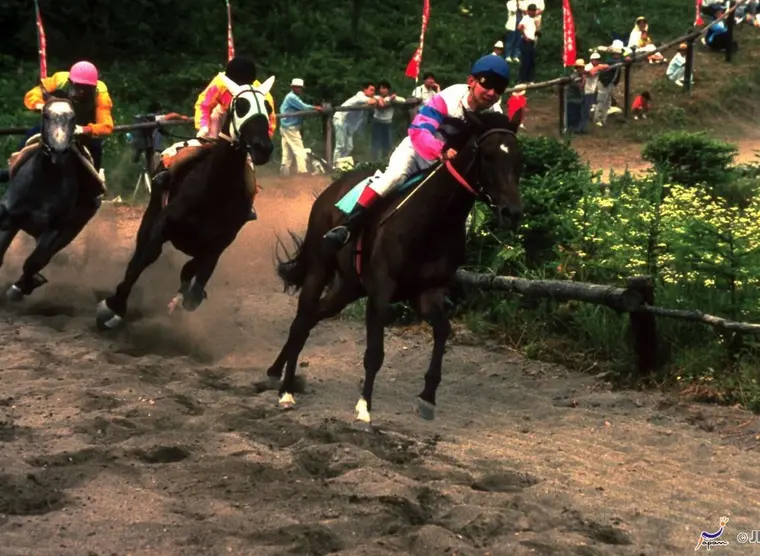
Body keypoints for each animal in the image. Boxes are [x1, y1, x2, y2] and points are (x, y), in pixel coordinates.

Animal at [0, 97, 104, 301]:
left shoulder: (55, 230)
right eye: (45, 115)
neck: (45, 181)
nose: (58, 151)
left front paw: (21, 287)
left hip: (70, 232)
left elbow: (33, 262)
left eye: (73, 118)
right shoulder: (8, 218)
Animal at [95, 75, 276, 330]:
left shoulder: (217, 245)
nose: (262, 147)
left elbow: (196, 285)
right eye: (241, 106)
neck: (214, 190)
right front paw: (113, 307)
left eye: (268, 108)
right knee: (140, 253)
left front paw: (183, 299)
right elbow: (144, 259)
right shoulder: (162, 226)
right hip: (151, 213)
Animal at [270, 109, 523, 428]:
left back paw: (276, 372)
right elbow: (375, 352)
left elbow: (443, 330)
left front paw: (427, 397)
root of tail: (329, 192)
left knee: (313, 317)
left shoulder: (428, 291)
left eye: (517, 157)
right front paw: (364, 406)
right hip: (319, 267)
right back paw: (286, 390)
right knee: (302, 319)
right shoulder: (381, 290)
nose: (512, 212)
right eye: (488, 156)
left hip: (349, 286)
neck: (432, 221)